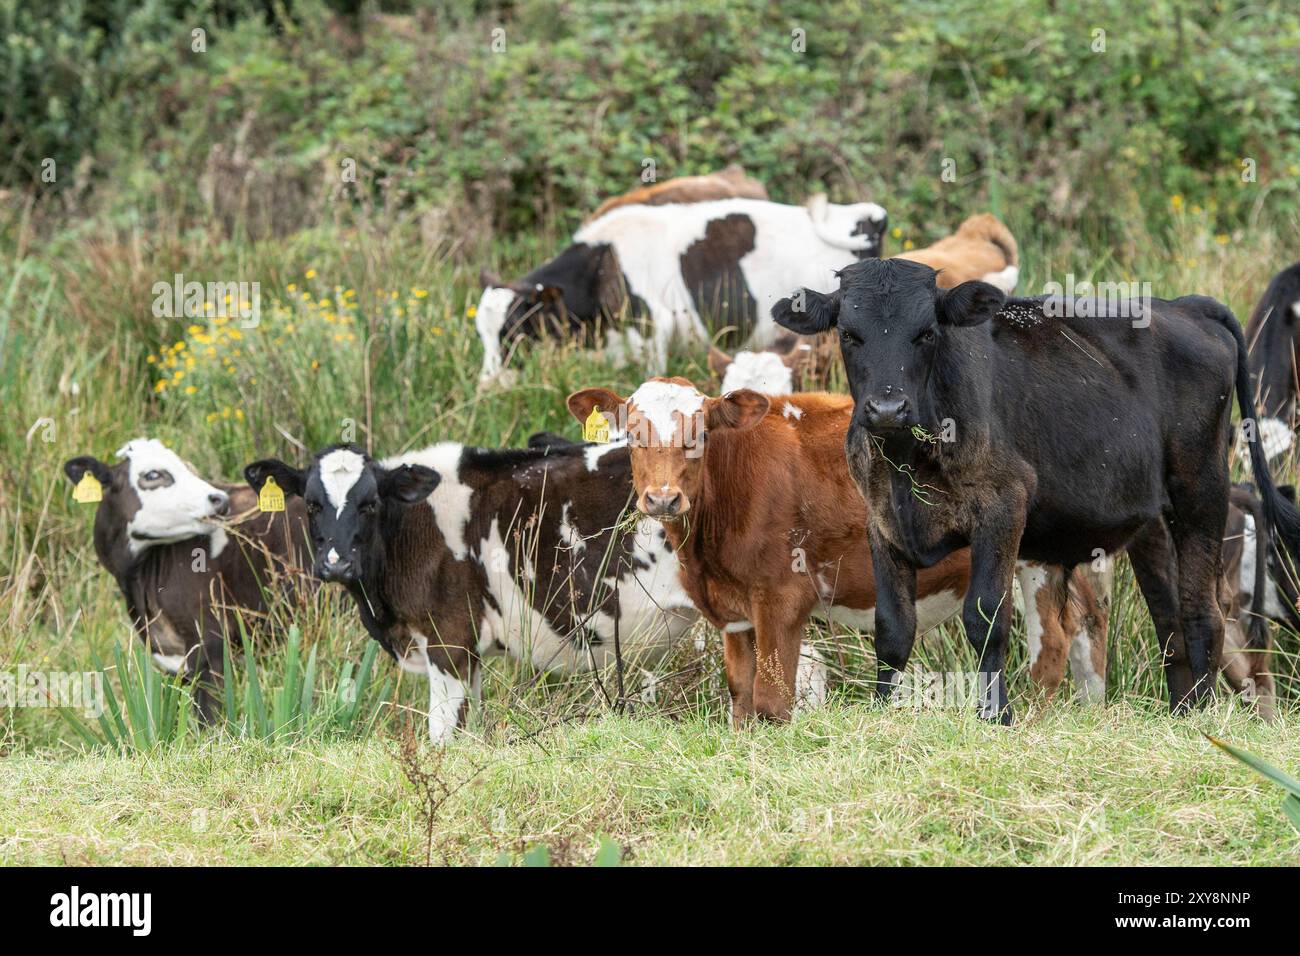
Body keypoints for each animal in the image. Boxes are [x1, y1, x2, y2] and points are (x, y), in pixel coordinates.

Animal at [243, 437, 698, 742]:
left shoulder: (448, 640)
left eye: (370, 504)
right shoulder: (470, 652)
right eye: (312, 504)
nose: (337, 563)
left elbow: (443, 734)